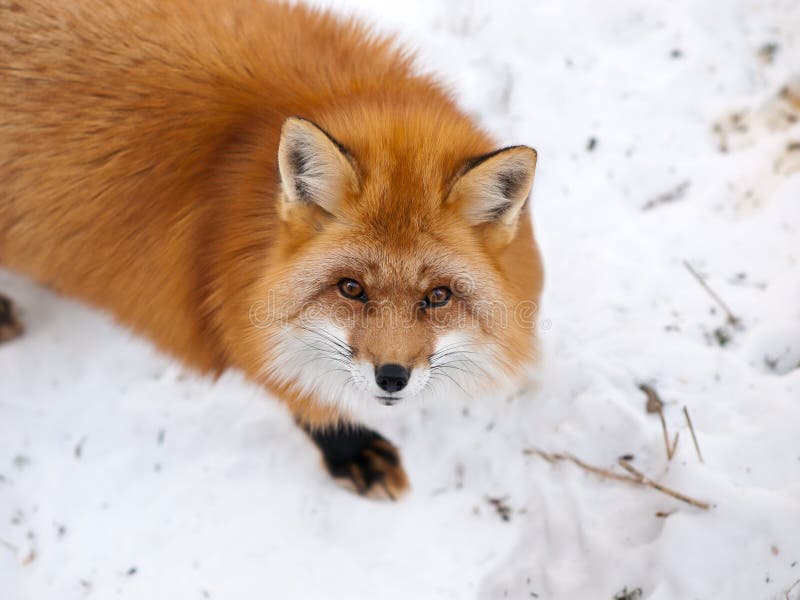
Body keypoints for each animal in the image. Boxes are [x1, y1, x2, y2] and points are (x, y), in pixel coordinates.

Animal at [0, 0, 543, 498]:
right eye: (350, 288)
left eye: (438, 296)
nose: (392, 378)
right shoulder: (229, 310)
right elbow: (296, 389)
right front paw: (348, 450)